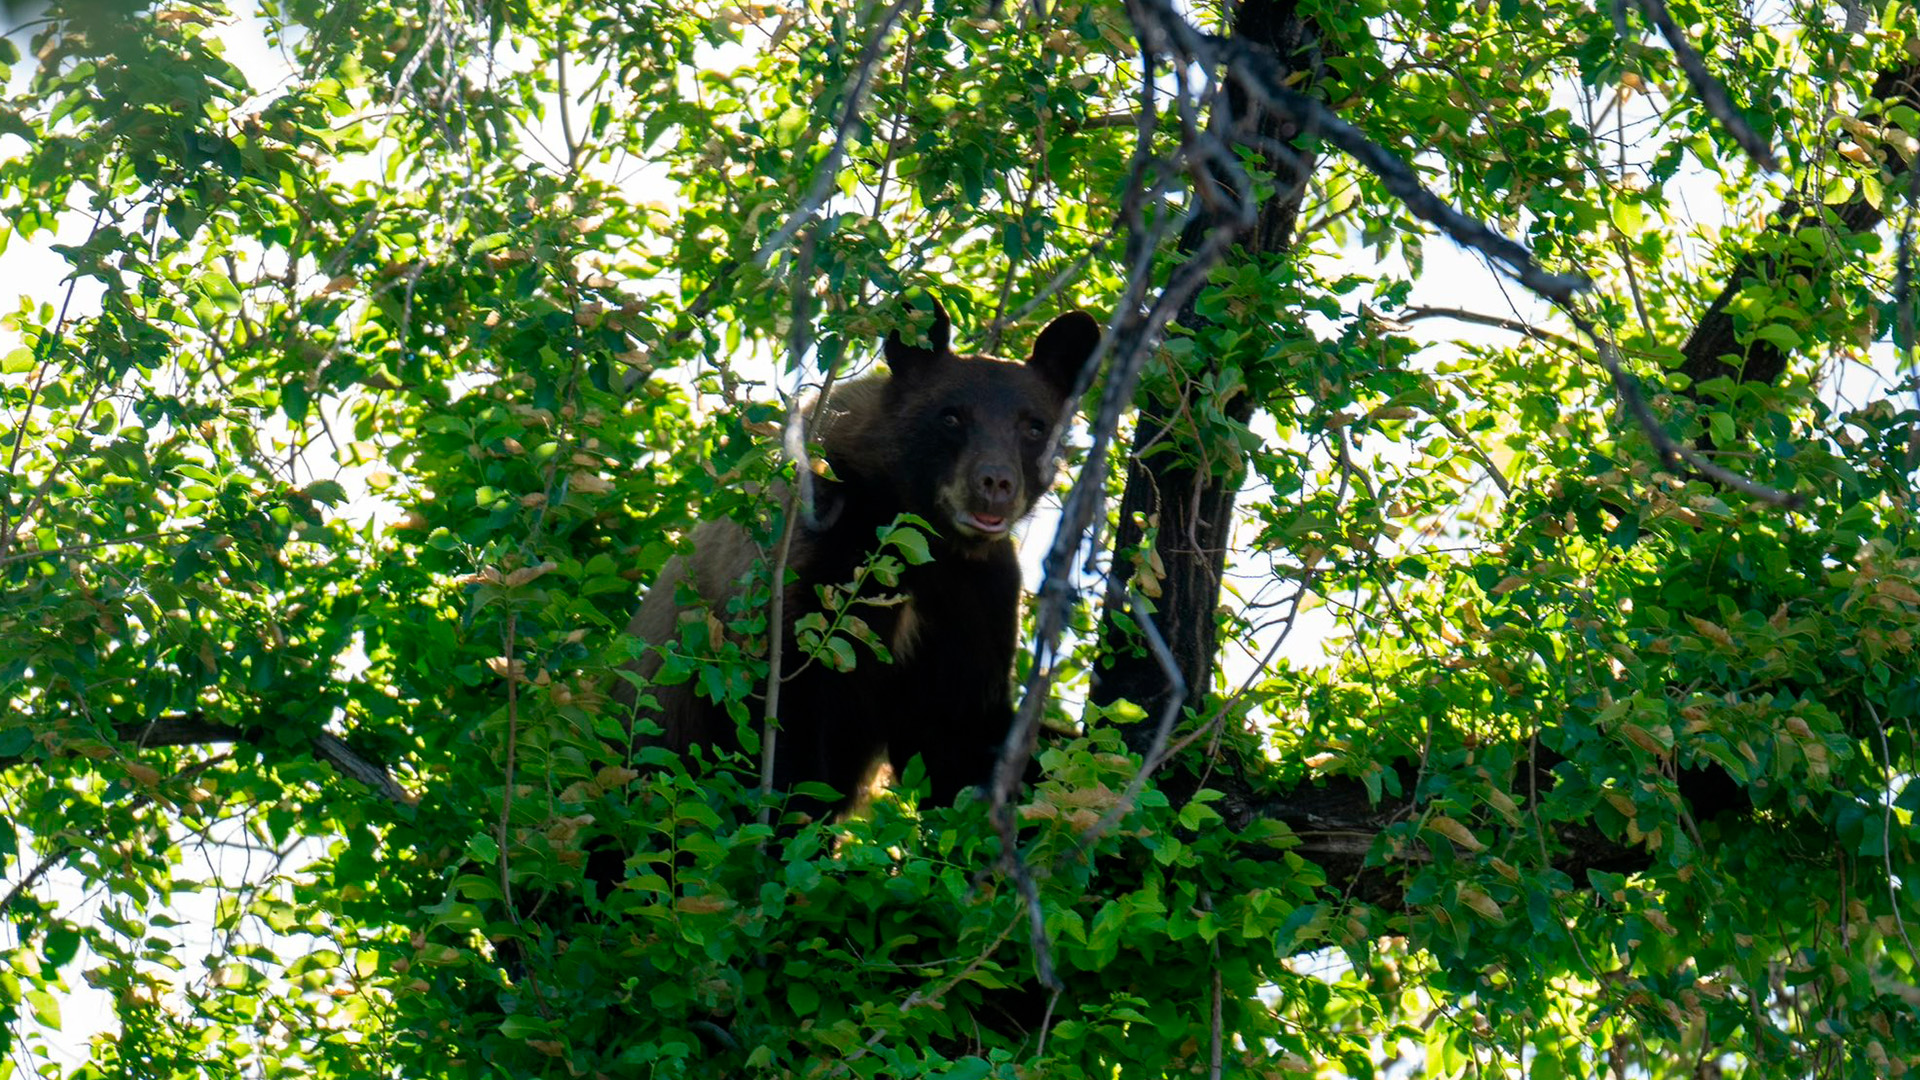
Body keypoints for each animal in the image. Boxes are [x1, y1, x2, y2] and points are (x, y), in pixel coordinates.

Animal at [616, 295, 1102, 813]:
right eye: (951, 417)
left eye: (1034, 426)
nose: (995, 483)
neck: (926, 545)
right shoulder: (813, 560)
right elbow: (783, 718)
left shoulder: (977, 595)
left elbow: (961, 737)